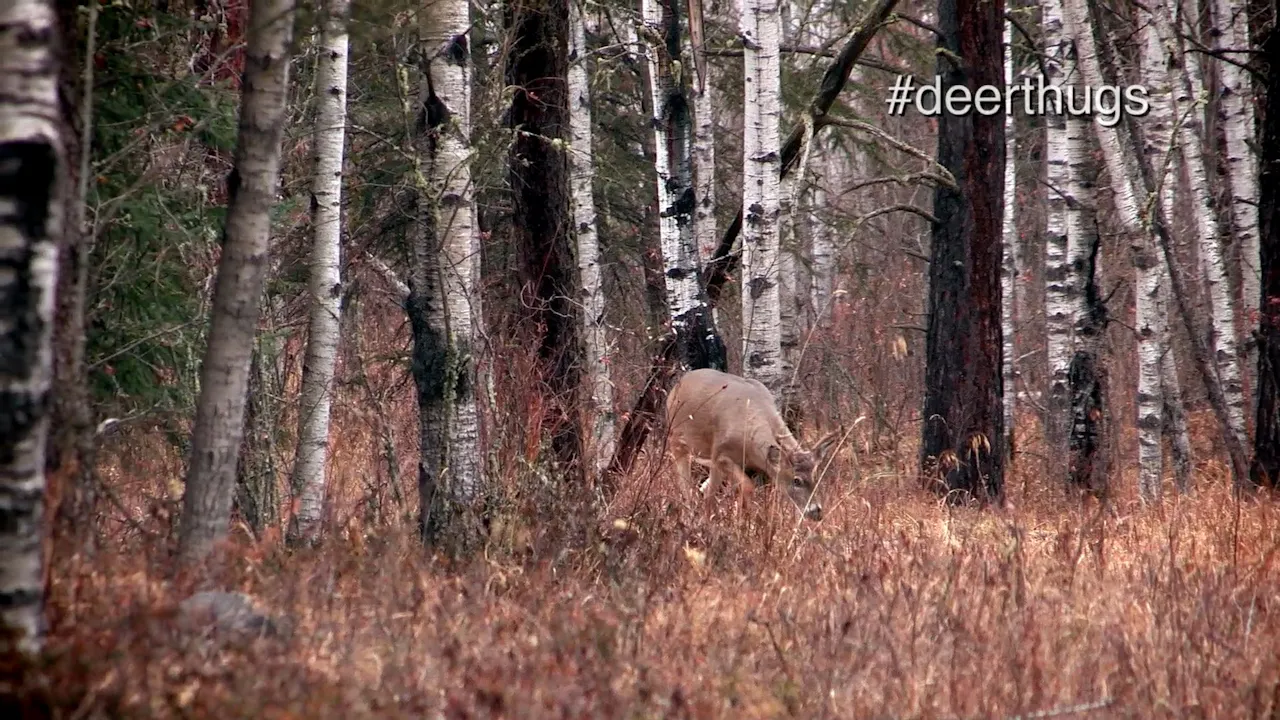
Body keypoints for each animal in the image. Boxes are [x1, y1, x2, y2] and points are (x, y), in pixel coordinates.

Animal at [664, 368, 841, 521]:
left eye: (816, 476)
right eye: (796, 480)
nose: (816, 512)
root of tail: (676, 387)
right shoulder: (720, 454)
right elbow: (746, 486)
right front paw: (742, 521)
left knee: (703, 489)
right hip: (676, 441)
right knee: (687, 487)